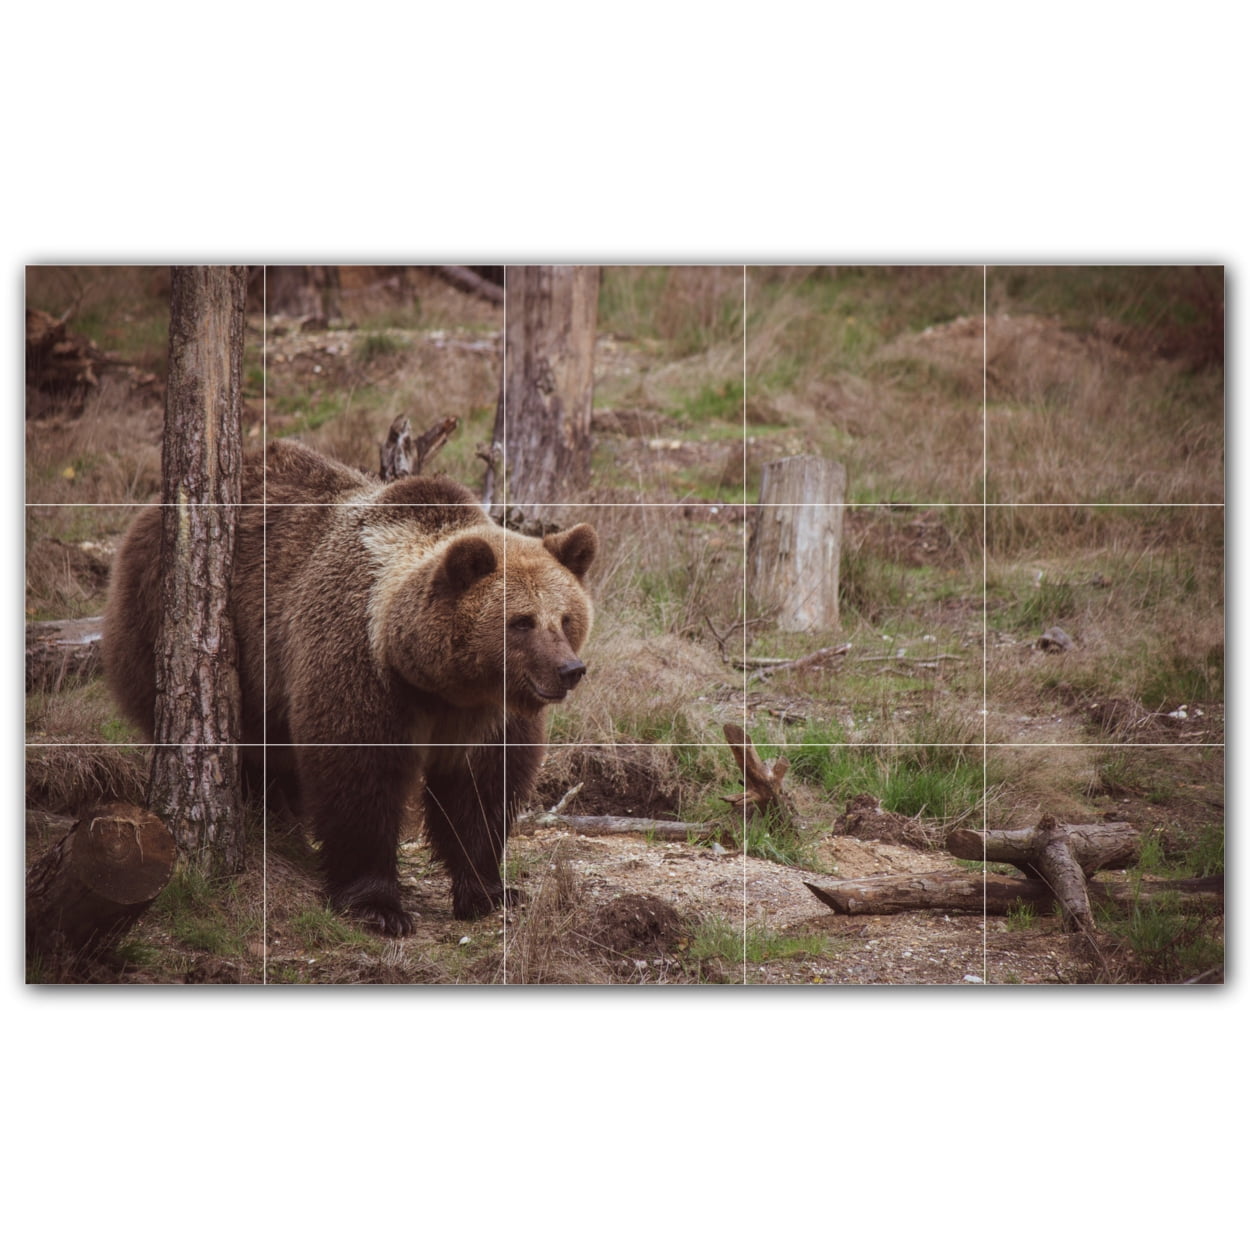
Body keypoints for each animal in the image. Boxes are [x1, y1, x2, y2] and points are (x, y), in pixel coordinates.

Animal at [102, 439, 597, 936]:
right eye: (522, 622)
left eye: (565, 618)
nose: (569, 669)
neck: (436, 681)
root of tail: (147, 516)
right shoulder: (359, 664)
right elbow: (358, 775)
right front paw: (378, 905)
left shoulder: (487, 715)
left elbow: (481, 790)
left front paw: (491, 891)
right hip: (177, 624)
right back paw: (270, 817)